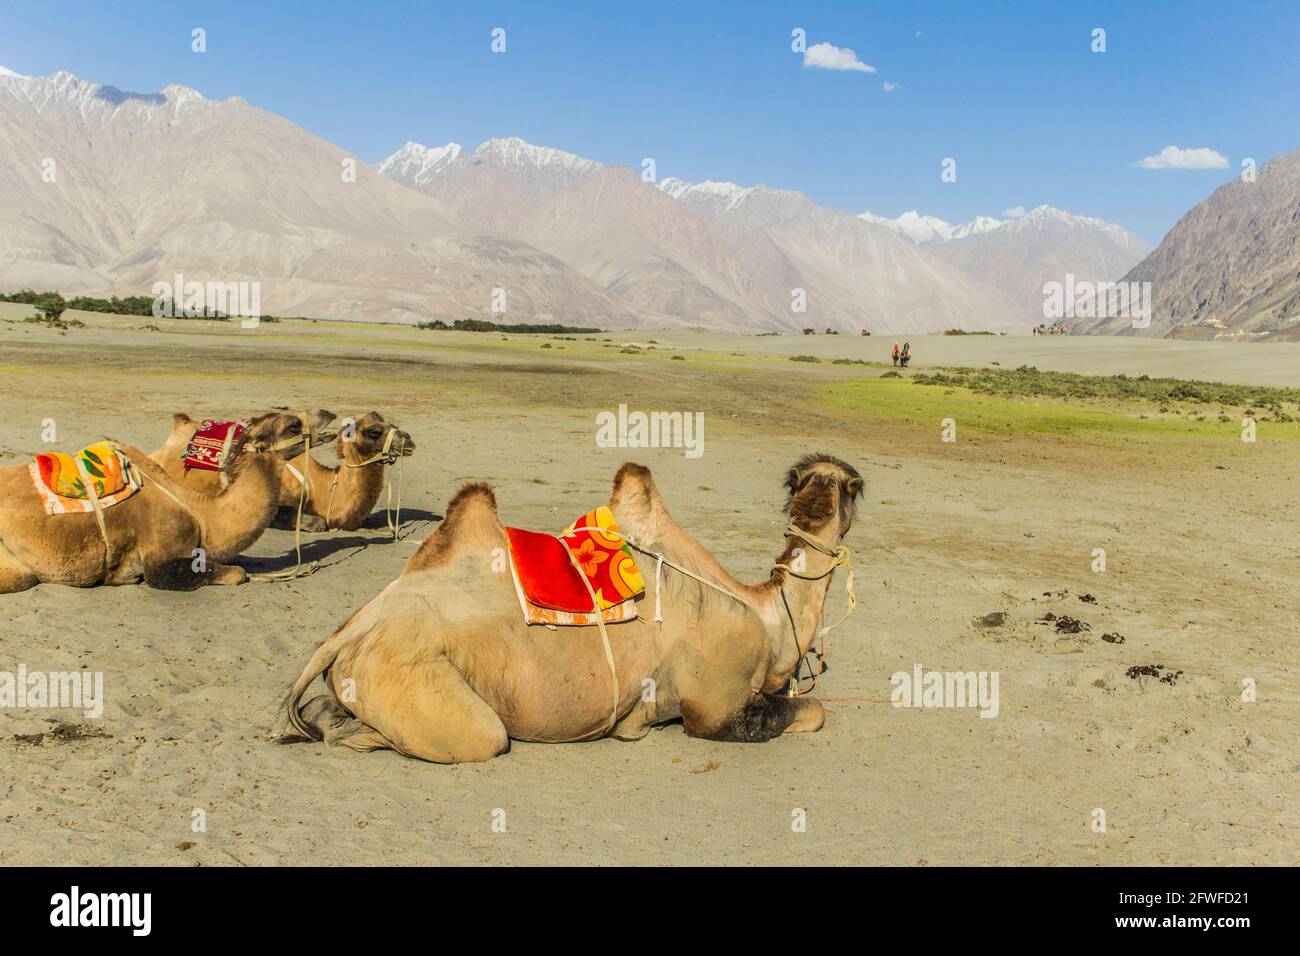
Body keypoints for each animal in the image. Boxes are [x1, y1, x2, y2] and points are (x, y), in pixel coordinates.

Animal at [279, 453, 862, 763]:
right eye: (858, 490)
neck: (766, 615)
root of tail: (354, 627)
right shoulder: (715, 705)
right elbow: (814, 712)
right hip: (410, 673)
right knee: (477, 736)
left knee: (323, 709)